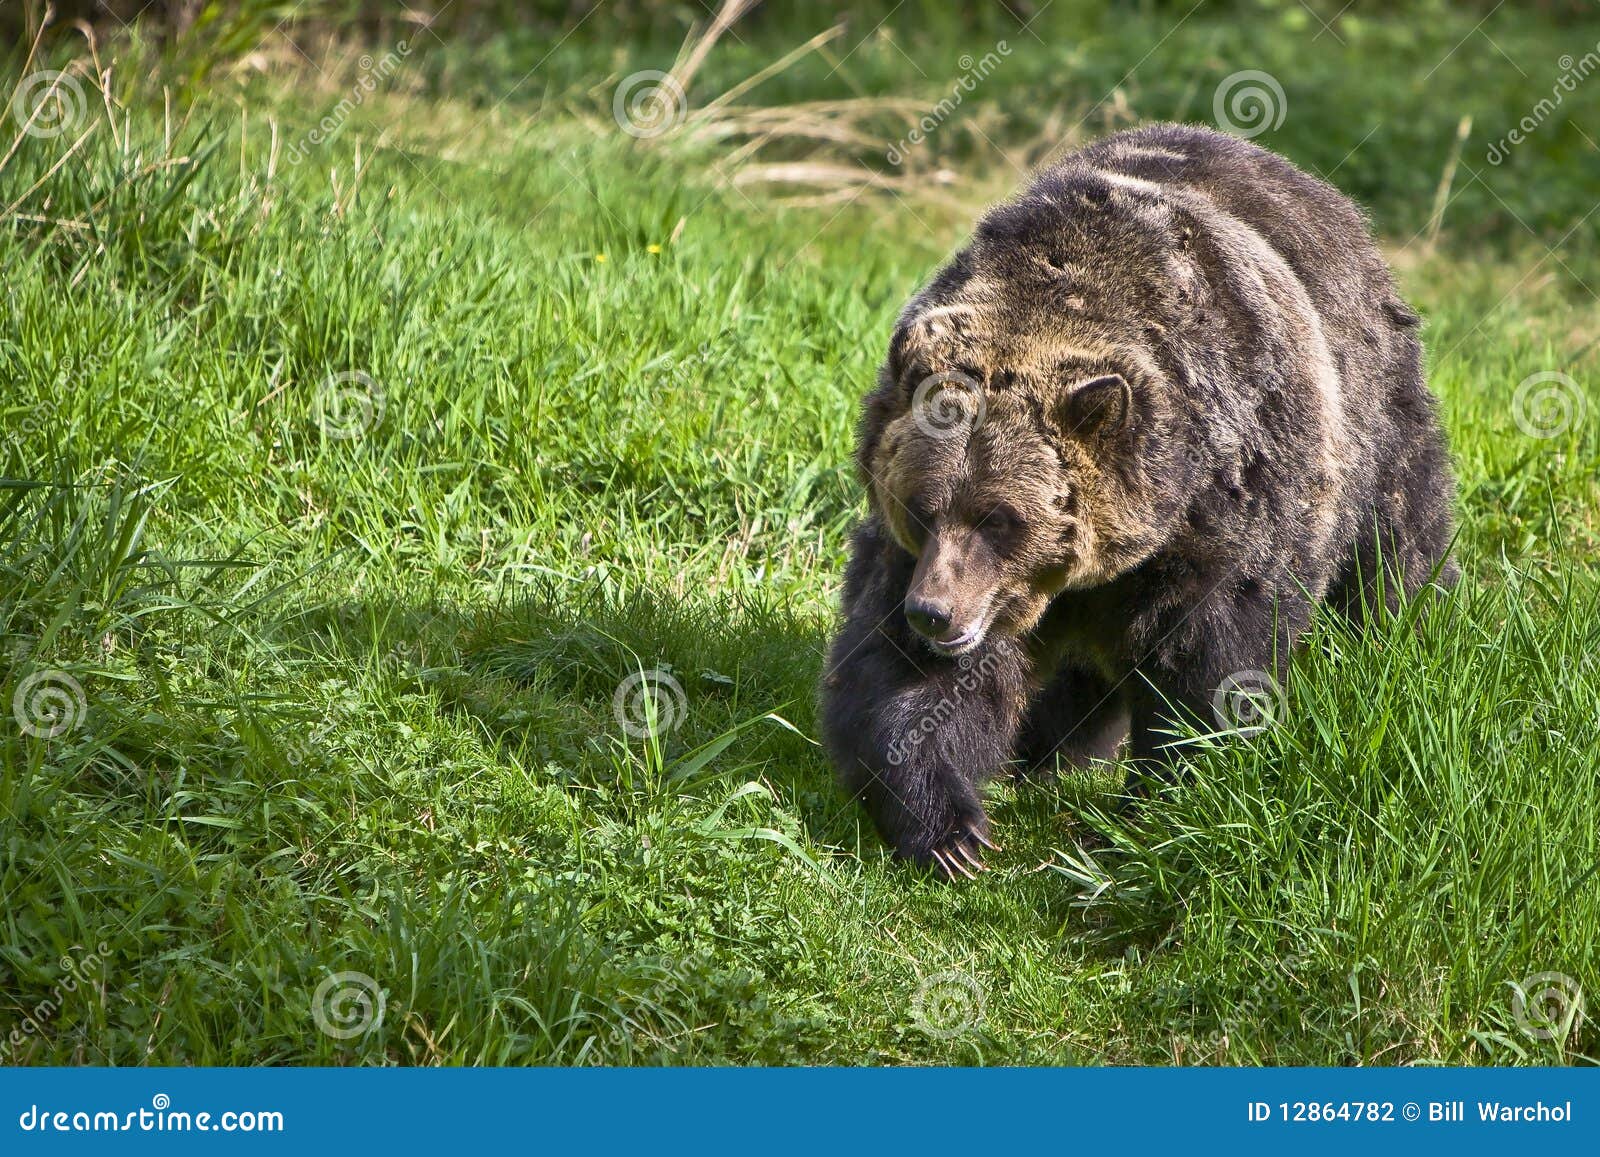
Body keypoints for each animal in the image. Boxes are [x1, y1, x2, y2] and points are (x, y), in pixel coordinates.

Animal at [818, 123, 1457, 879]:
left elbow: (1211, 663)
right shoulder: (924, 562)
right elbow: (905, 679)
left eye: (1001, 518)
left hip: (1376, 419)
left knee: (1397, 548)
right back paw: (1051, 753)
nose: (935, 613)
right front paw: (952, 832)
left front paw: (1157, 809)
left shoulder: (1226, 508)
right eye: (921, 507)